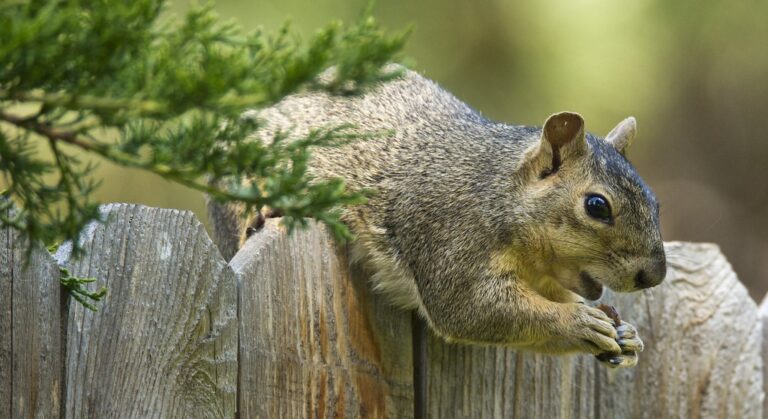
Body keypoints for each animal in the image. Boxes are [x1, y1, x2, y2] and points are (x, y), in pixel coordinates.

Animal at [209, 67, 667, 368]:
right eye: (597, 206)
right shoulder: (450, 237)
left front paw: (625, 335)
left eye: (656, 203)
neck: (497, 193)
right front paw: (578, 322)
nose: (654, 276)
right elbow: (470, 310)